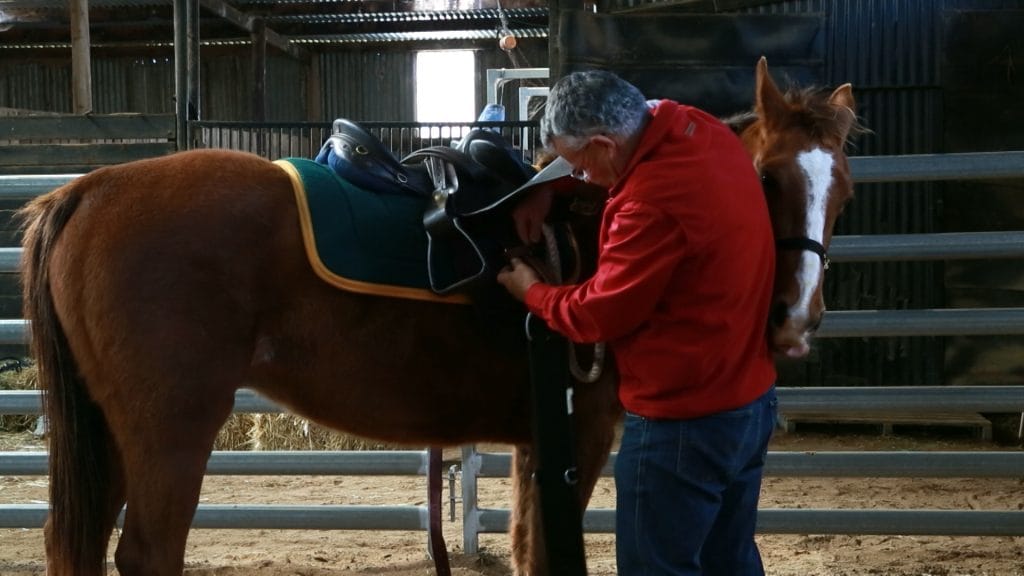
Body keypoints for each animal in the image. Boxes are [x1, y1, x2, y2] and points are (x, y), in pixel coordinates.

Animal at [19, 57, 858, 576]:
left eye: (843, 186)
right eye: (766, 178)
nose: (793, 319)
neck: (590, 227)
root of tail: (87, 189)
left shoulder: (536, 441)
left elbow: (527, 549)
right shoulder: (580, 434)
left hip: (113, 430)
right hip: (171, 428)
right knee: (147, 552)